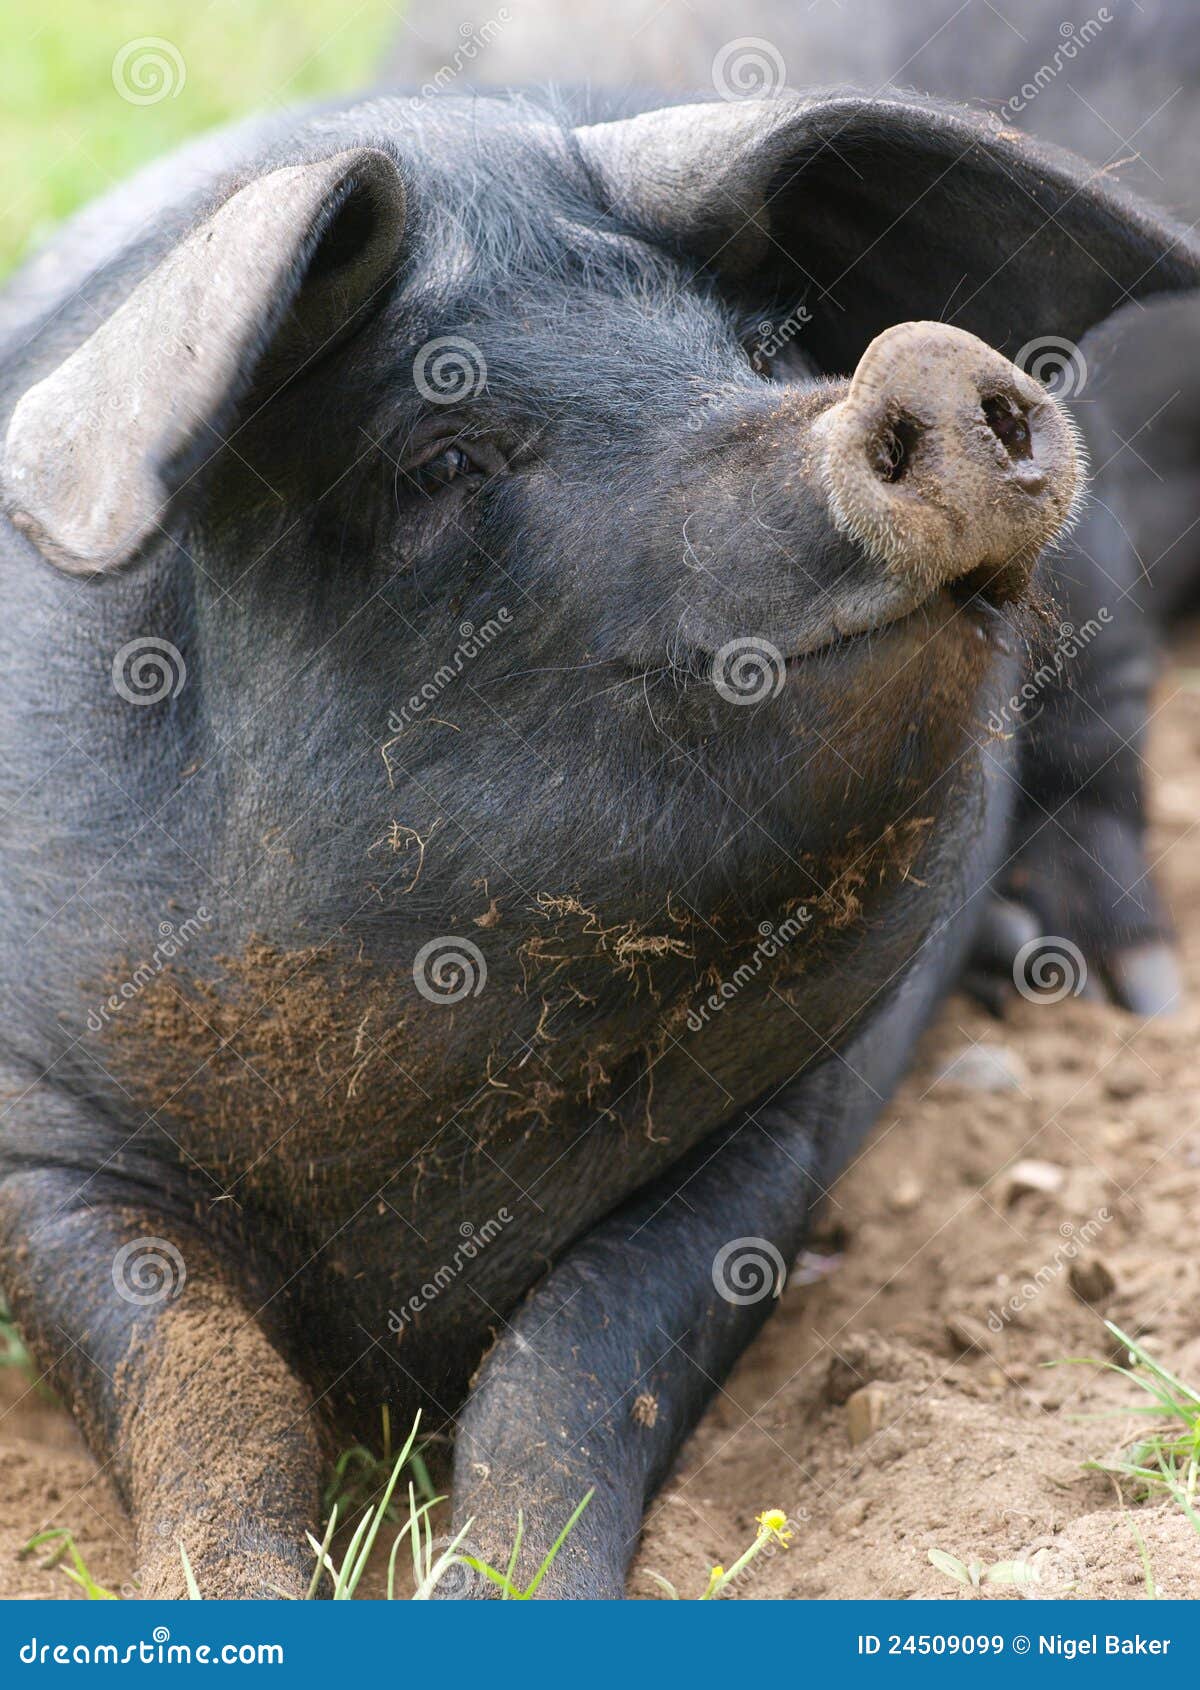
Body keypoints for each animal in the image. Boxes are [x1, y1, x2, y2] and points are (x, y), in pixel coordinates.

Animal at [0, 74, 1196, 1599]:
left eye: (762, 351)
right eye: (443, 455)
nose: (921, 358)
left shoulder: (781, 1116)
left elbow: (568, 1362)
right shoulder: (45, 1136)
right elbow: (203, 1378)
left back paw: (1115, 986)